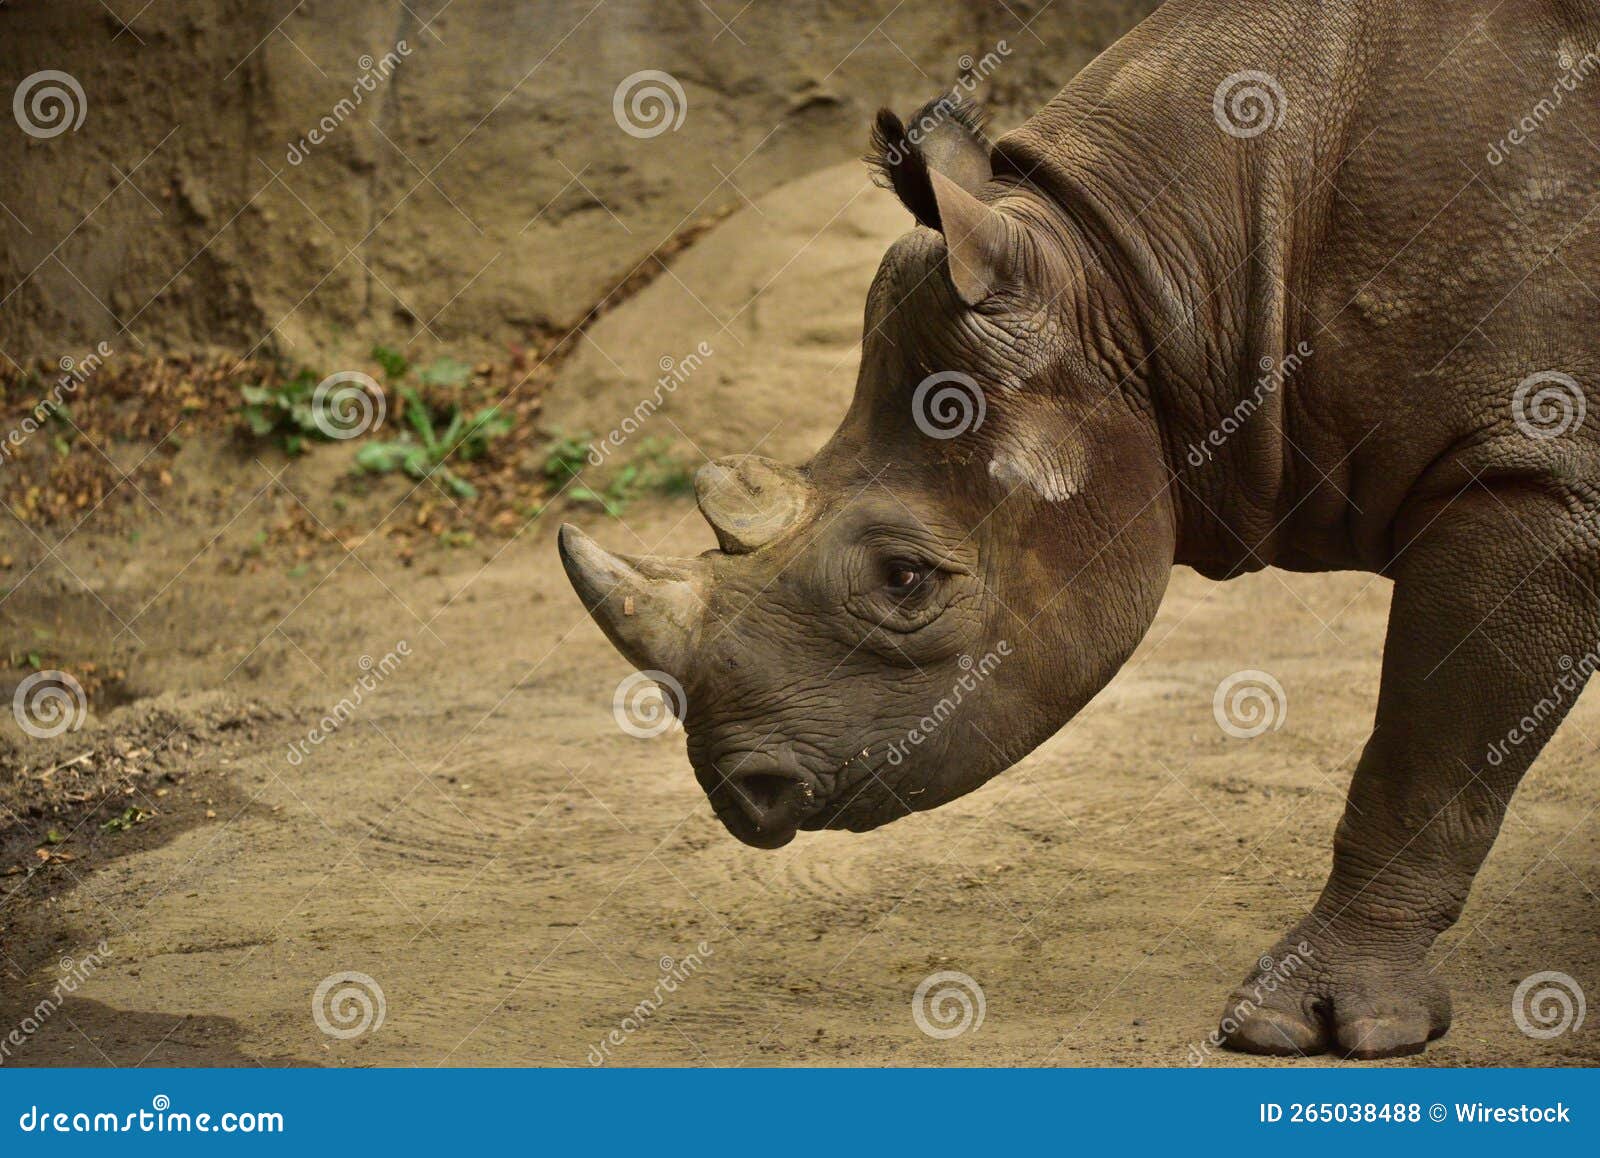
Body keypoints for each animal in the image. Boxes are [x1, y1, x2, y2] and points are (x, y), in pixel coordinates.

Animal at [561, 0, 1600, 1059]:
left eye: (904, 580)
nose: (739, 790)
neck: (1138, 274)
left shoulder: (1538, 469)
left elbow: (1425, 752)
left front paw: (1302, 1025)